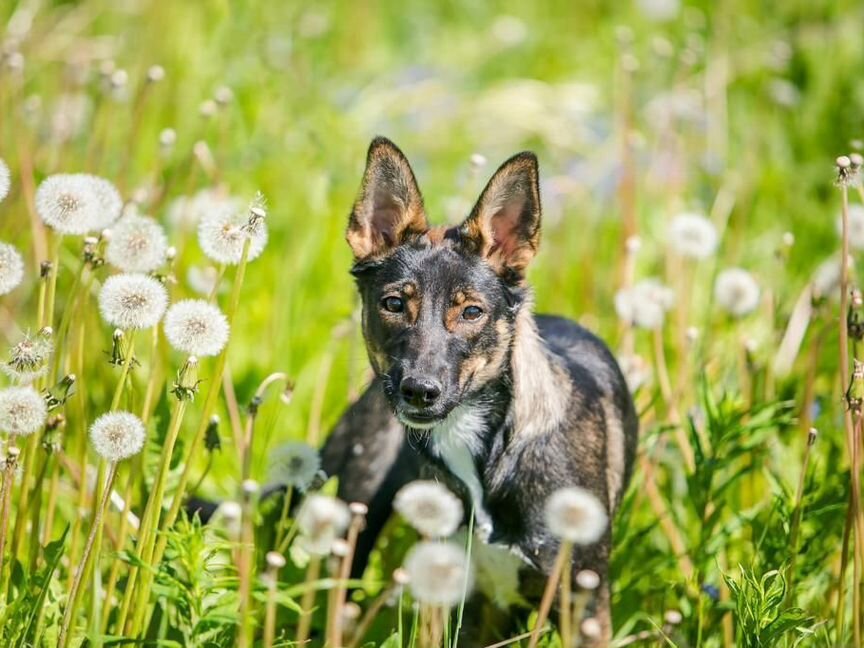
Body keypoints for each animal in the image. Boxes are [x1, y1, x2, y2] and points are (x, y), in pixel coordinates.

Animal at [320, 138, 636, 644]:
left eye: (471, 312)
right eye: (393, 304)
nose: (419, 392)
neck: (484, 447)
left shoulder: (583, 605)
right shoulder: (451, 594)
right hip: (352, 520)